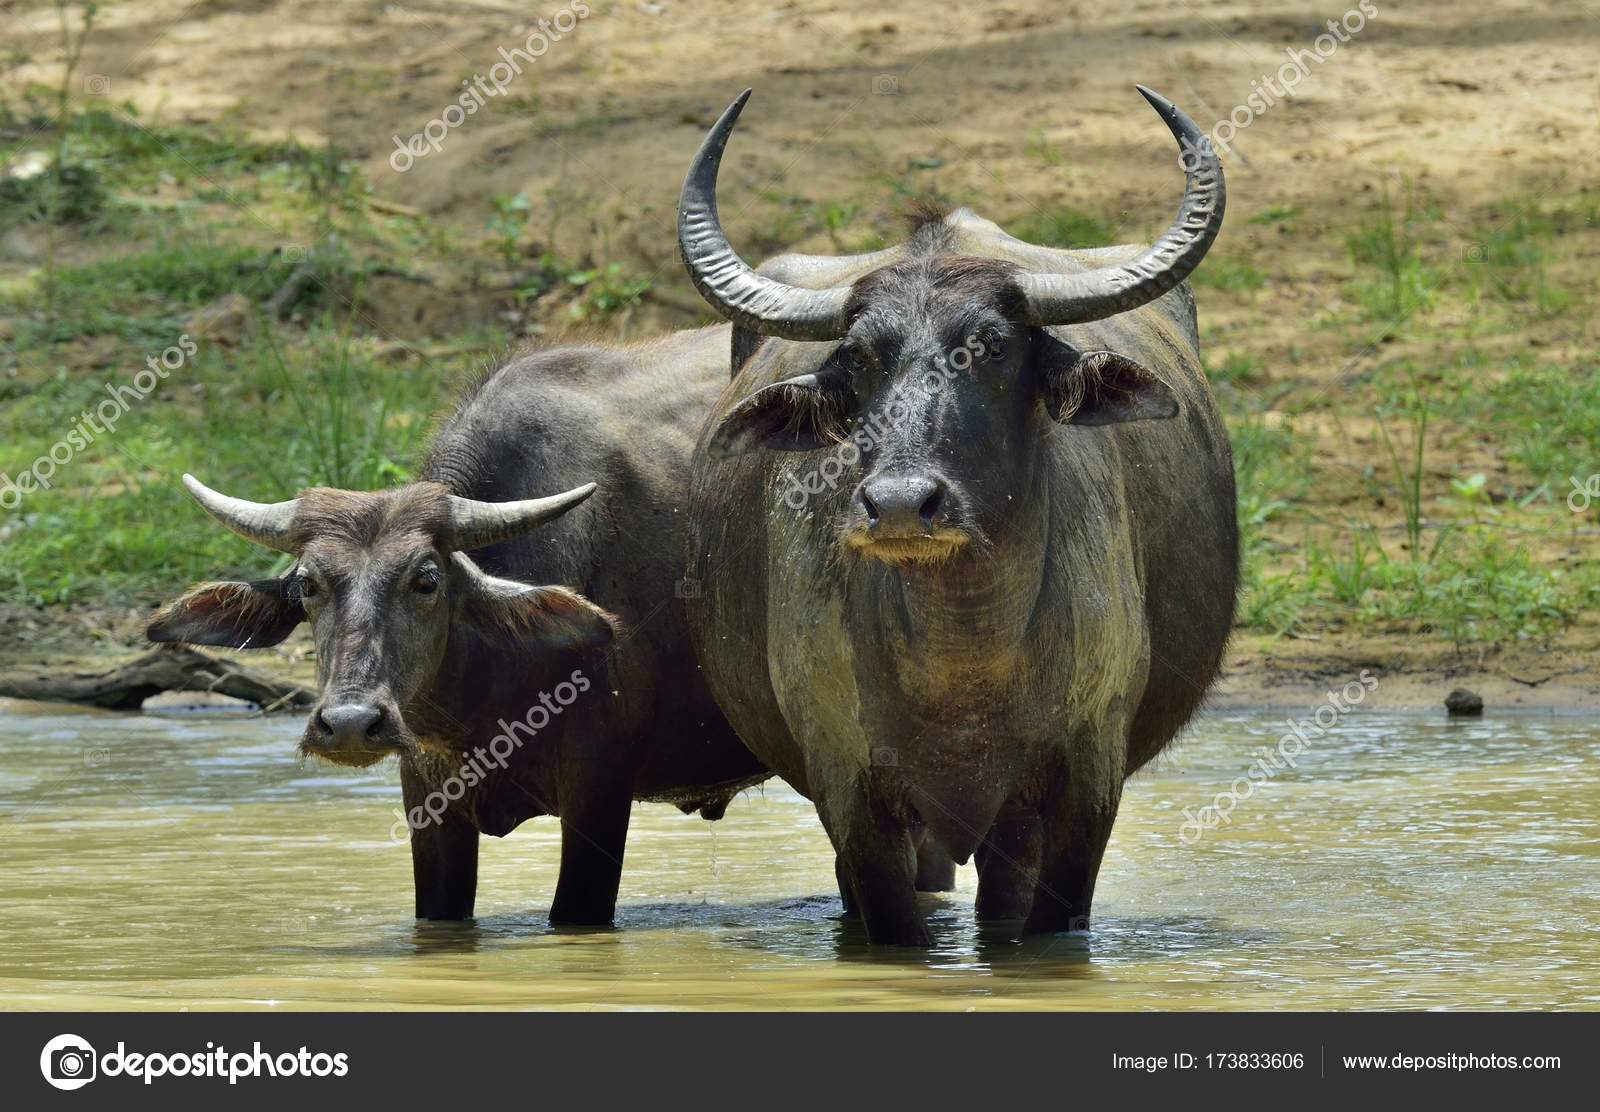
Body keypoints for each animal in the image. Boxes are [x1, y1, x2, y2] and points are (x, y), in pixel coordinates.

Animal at [148, 328, 770, 925]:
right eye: (307, 585)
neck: (486, 691)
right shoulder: (426, 794)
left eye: (426, 580)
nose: (348, 724)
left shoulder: (600, 788)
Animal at [679, 88, 1237, 944]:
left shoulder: (1084, 786)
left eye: (993, 347)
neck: (964, 655)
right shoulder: (847, 790)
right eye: (861, 356)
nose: (902, 505)